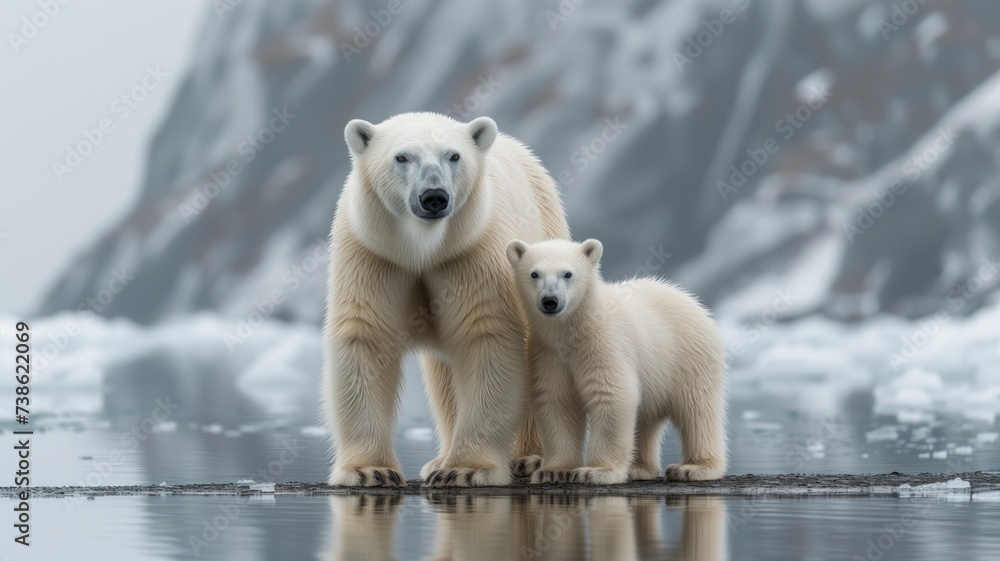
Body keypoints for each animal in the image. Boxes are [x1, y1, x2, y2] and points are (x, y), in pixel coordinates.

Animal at [324, 112, 569, 488]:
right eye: (402, 157)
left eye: (454, 156)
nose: (434, 196)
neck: (423, 249)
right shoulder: (373, 255)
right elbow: (366, 339)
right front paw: (369, 470)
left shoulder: (471, 253)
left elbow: (485, 337)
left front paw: (465, 469)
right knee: (442, 377)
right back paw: (438, 460)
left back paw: (531, 458)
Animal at [505, 238, 728, 484]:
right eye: (534, 274)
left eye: (568, 274)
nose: (550, 301)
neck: (575, 330)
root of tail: (695, 302)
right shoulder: (548, 353)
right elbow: (557, 401)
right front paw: (553, 471)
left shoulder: (605, 344)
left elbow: (611, 394)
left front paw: (596, 471)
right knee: (646, 416)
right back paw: (639, 468)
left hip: (689, 357)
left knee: (697, 410)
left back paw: (692, 468)